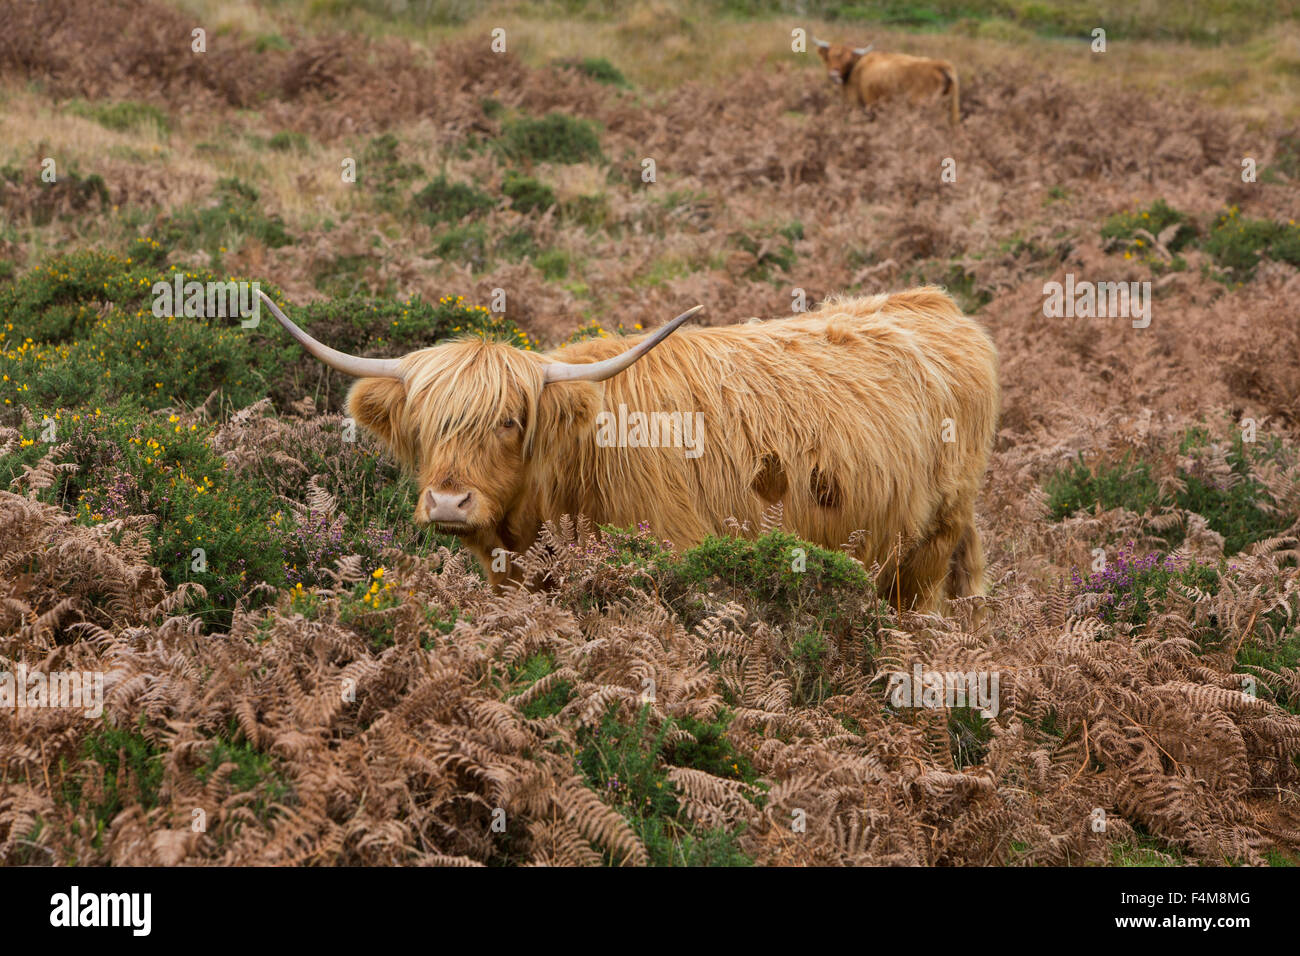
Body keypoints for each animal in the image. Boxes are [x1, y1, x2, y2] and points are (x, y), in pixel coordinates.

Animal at [814, 38, 960, 126]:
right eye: (829, 57)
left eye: (847, 60)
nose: (834, 74)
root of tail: (940, 64)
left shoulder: (858, 105)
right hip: (952, 111)